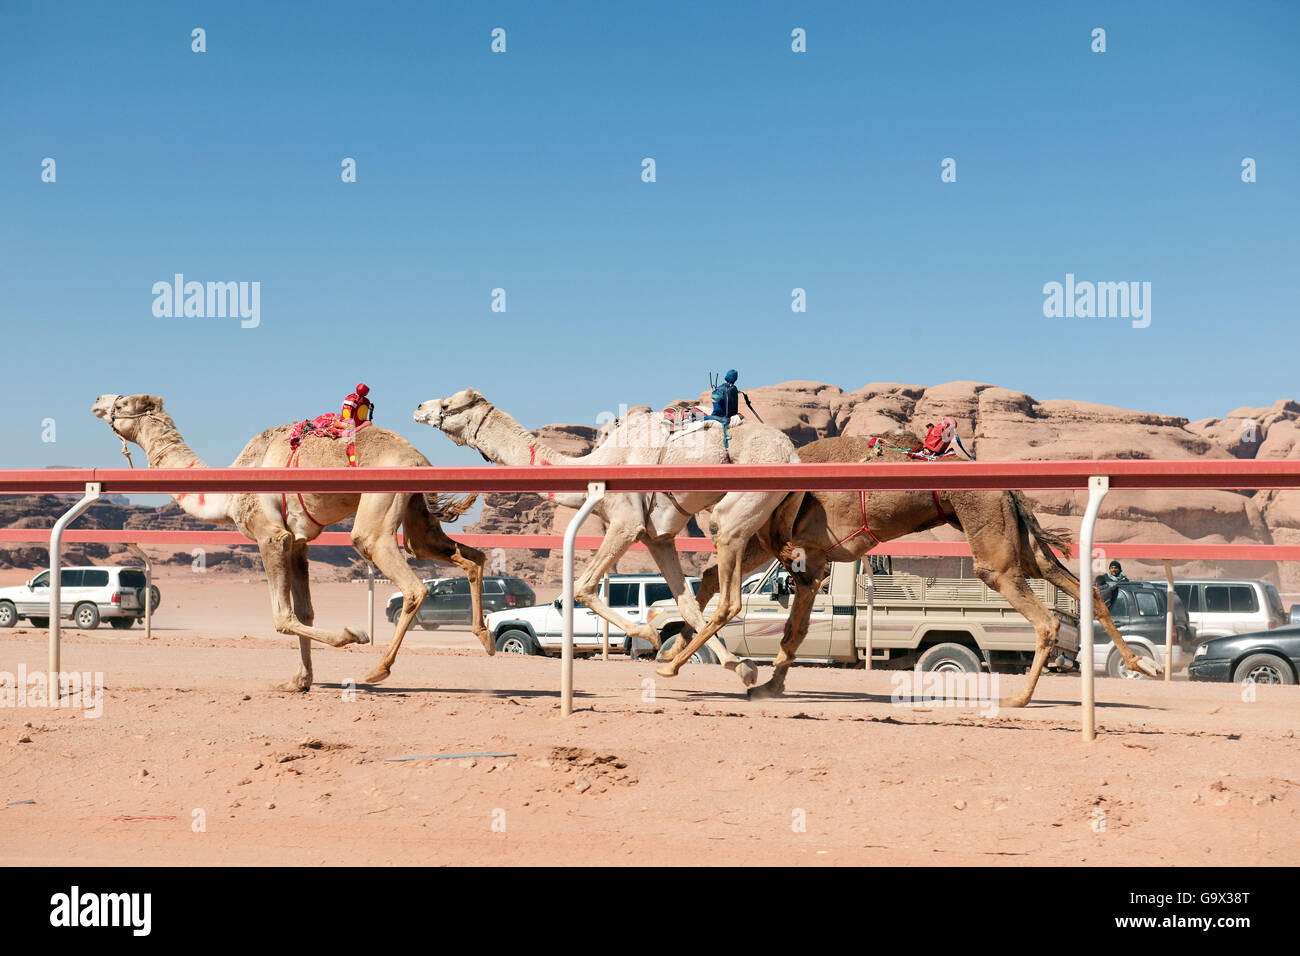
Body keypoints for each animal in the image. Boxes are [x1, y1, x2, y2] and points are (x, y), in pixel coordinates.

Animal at [91, 393, 491, 691]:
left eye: (122, 402)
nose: (97, 400)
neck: (230, 489)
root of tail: (419, 459)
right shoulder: (297, 543)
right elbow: (304, 612)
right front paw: (299, 680)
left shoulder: (271, 536)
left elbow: (283, 617)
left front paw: (352, 634)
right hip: (416, 513)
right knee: (465, 555)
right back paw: (484, 636)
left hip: (379, 510)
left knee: (404, 578)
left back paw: (378, 669)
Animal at [413, 388, 802, 686]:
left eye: (447, 405)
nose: (418, 407)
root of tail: (793, 454)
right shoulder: (657, 537)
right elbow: (686, 604)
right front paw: (740, 666)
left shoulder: (626, 523)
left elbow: (583, 586)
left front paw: (649, 636)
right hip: (769, 522)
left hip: (738, 511)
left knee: (731, 597)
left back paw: (672, 665)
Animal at [663, 434, 1161, 707]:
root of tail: (1009, 490)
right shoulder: (811, 561)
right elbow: (792, 629)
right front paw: (768, 684)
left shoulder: (791, 550)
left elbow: (741, 606)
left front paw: (674, 665)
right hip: (1016, 537)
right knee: (1081, 588)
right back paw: (1144, 664)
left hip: (992, 546)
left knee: (1045, 618)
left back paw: (1019, 697)